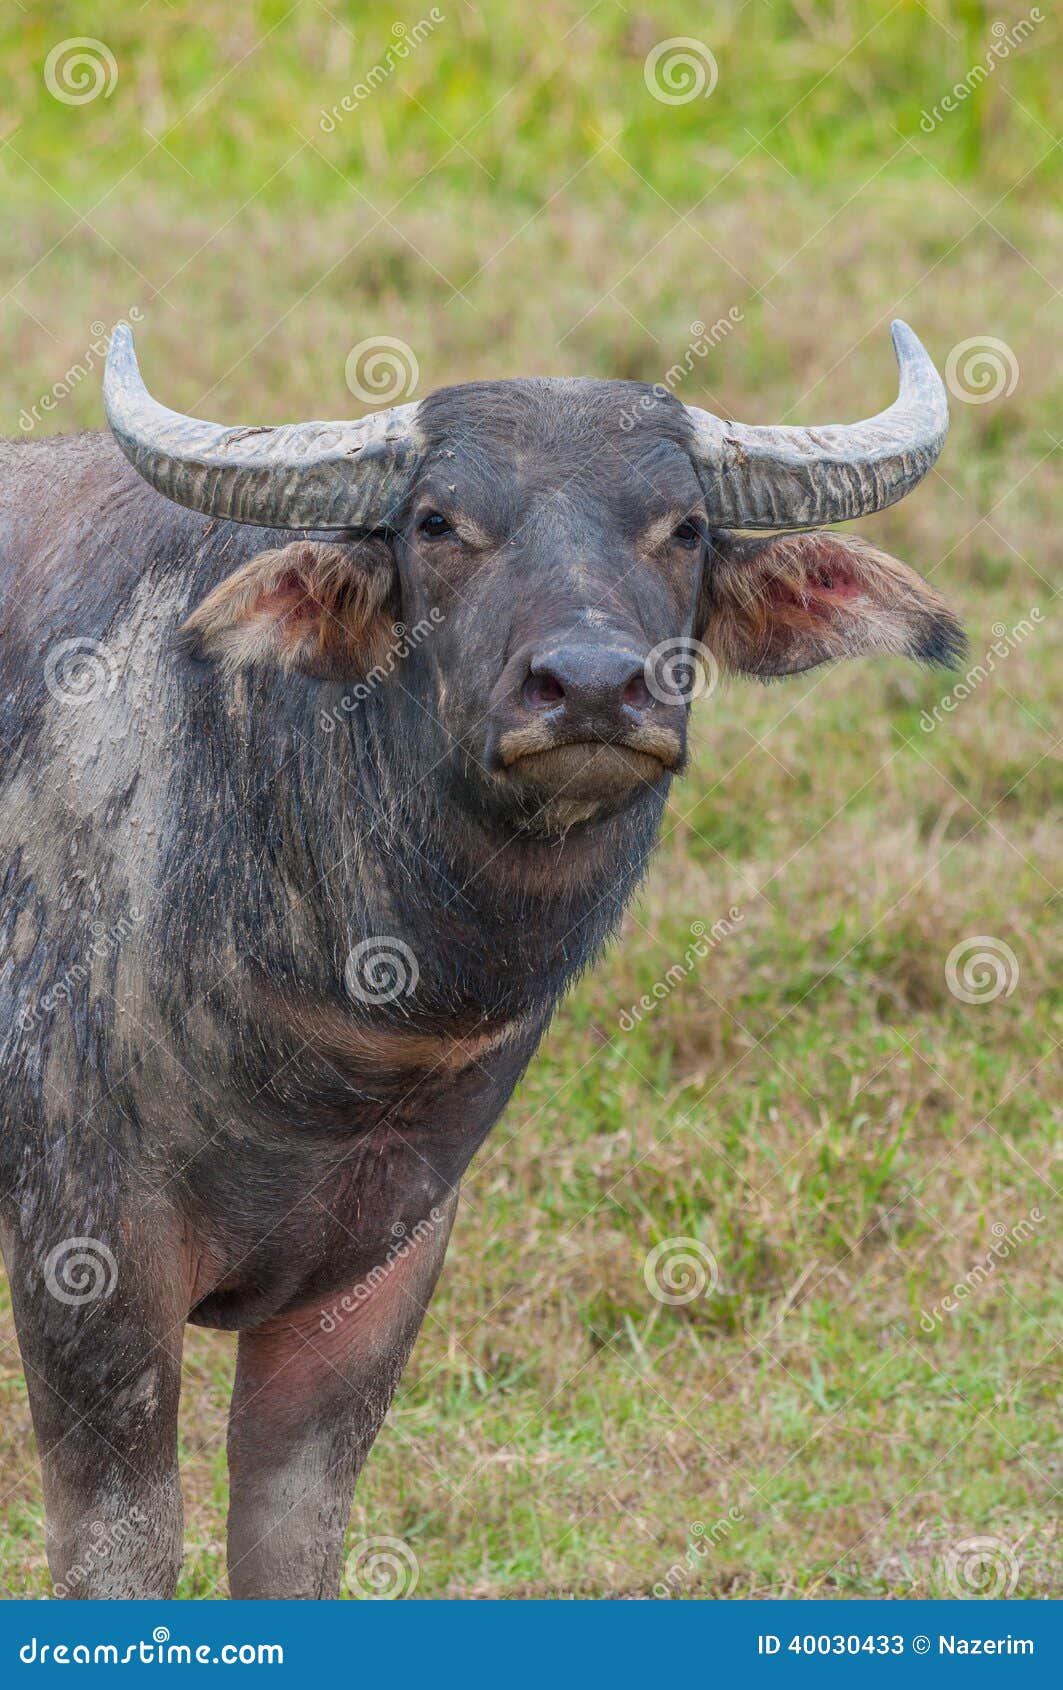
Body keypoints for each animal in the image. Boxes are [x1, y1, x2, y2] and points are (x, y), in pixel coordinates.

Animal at [0, 321, 962, 1597]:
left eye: (684, 526)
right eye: (437, 522)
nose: (594, 688)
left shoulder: (381, 1271)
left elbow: (292, 1537)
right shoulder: (86, 1261)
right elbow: (124, 1550)